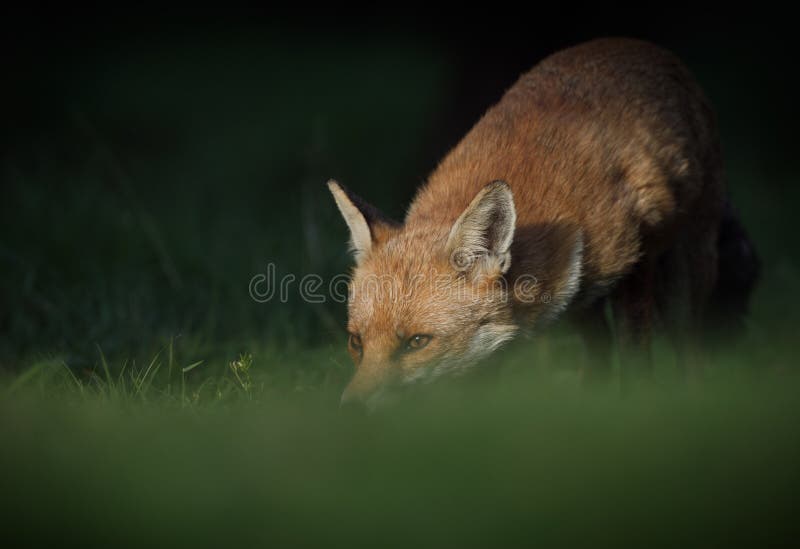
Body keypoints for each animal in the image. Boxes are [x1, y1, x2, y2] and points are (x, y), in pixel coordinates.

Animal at [328, 38, 759, 408]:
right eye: (356, 342)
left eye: (418, 342)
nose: (352, 412)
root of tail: (642, 46)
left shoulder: (637, 263)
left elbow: (636, 361)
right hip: (585, 300)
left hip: (685, 273)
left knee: (690, 348)